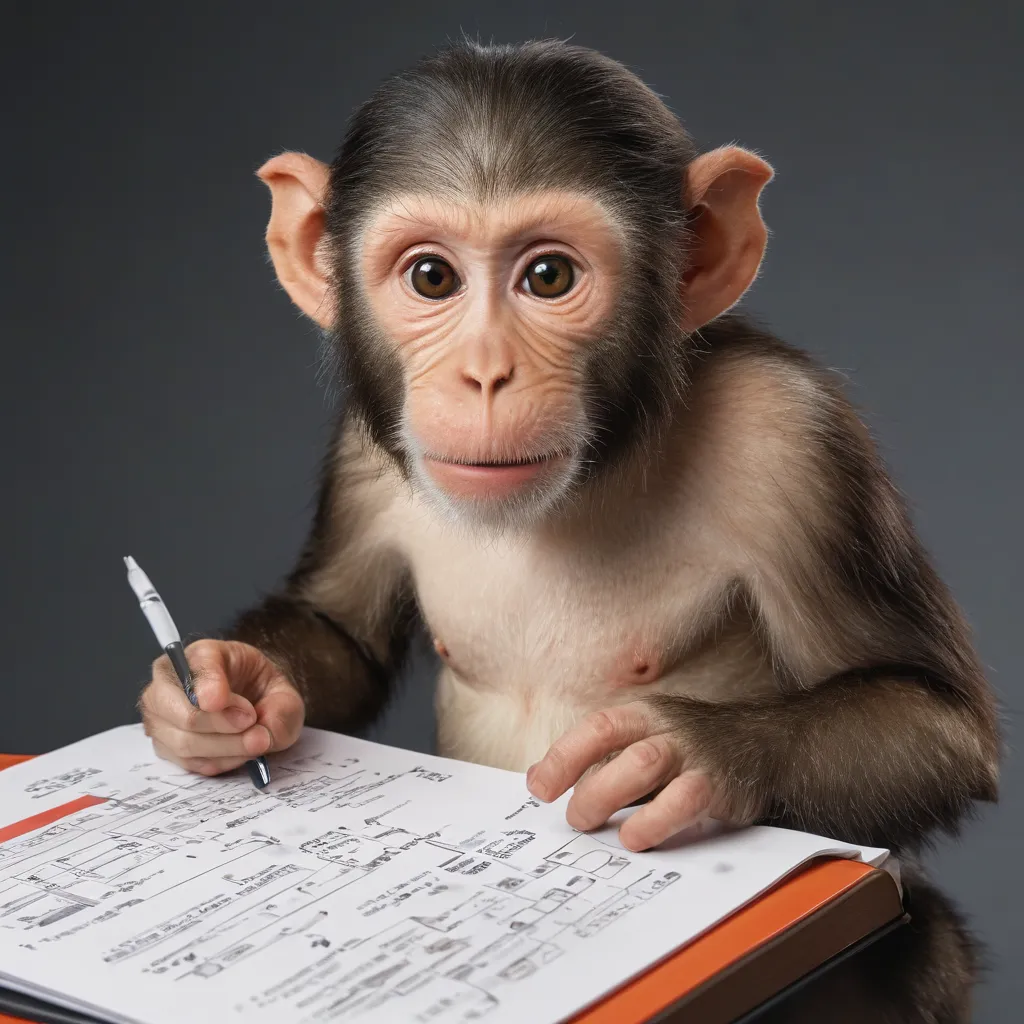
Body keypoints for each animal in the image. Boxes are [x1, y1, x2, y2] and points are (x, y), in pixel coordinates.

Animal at [137, 40, 999, 1022]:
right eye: (431, 277)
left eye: (548, 277)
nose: (483, 372)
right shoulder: (365, 443)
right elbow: (337, 622)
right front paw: (219, 693)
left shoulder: (798, 439)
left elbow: (927, 710)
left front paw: (683, 754)